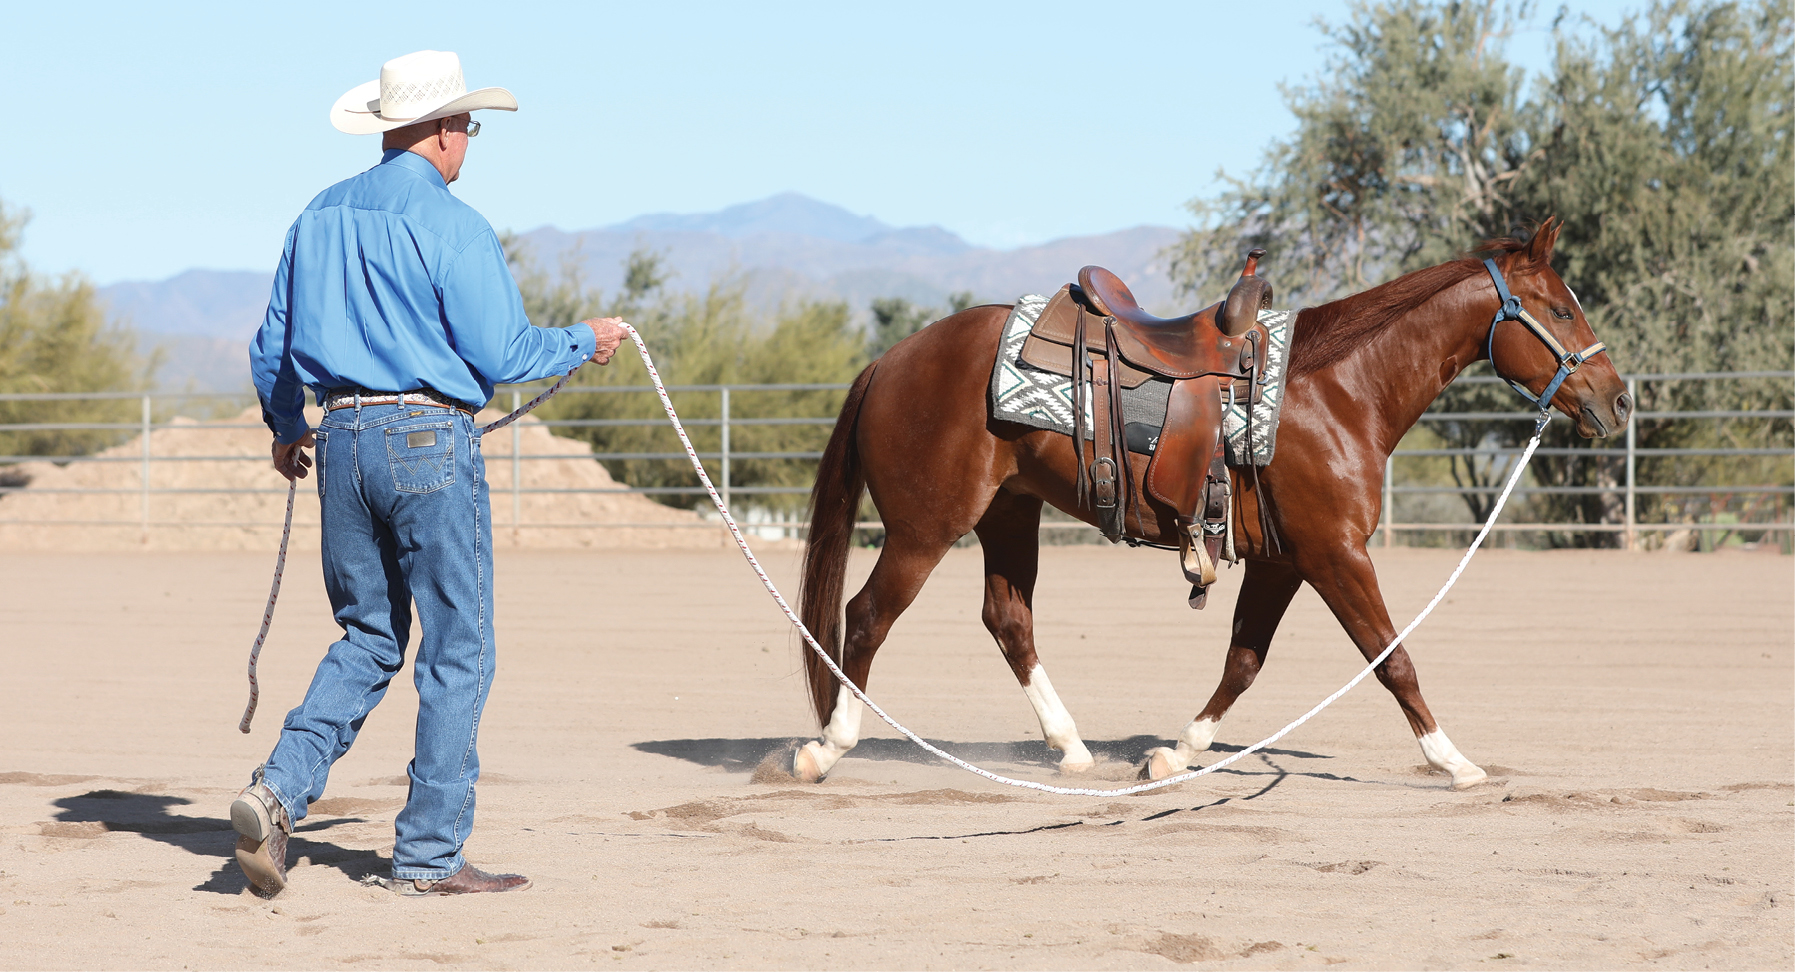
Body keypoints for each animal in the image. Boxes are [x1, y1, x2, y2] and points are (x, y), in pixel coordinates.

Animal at [790, 218, 1631, 789]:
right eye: (1560, 309)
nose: (1618, 400)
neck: (1336, 391)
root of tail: (889, 360)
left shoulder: (1285, 561)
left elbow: (1243, 659)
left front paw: (1175, 752)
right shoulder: (1336, 553)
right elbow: (1393, 660)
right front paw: (1452, 761)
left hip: (1007, 512)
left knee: (1007, 620)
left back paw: (1070, 748)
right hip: (925, 527)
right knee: (865, 617)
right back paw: (826, 747)